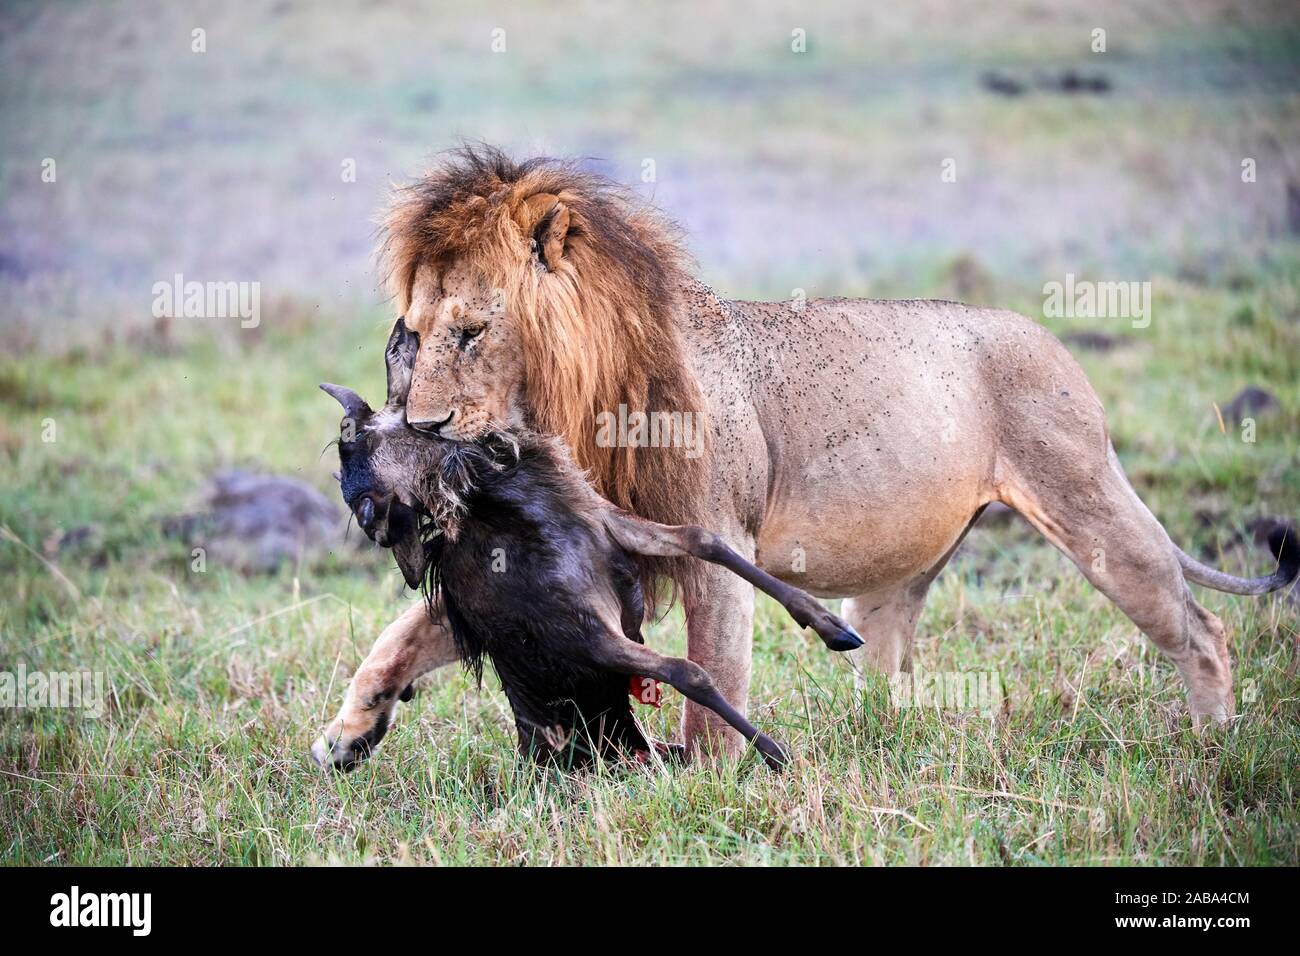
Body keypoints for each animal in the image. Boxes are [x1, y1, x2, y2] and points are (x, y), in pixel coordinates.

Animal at [312, 145, 1298, 768]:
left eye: (472, 331)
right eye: (410, 330)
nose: (422, 424)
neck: (556, 412)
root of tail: (1051, 341)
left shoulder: (700, 540)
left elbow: (712, 674)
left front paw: (709, 787)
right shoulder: (550, 567)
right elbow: (405, 635)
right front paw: (348, 731)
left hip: (1088, 502)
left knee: (1201, 630)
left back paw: (1214, 745)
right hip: (902, 575)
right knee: (890, 667)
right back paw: (879, 740)